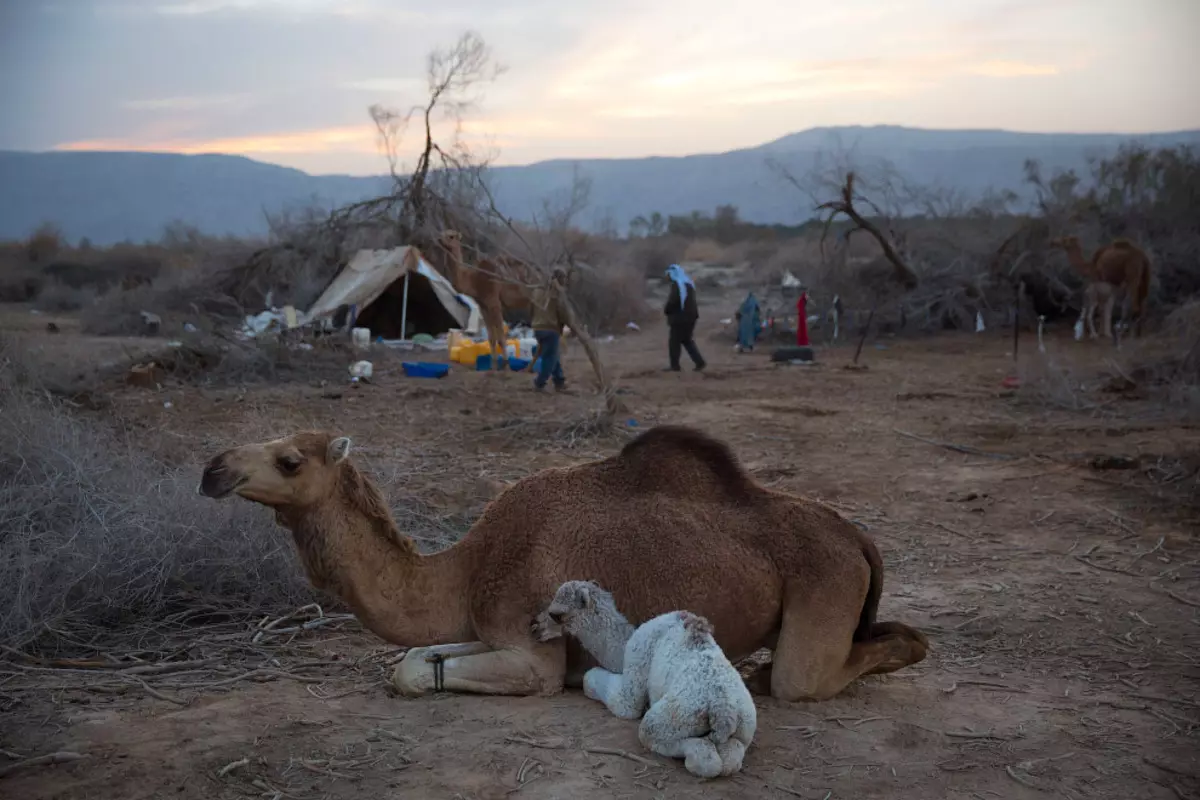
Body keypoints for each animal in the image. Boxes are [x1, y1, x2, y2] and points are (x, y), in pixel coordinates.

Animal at [196, 424, 926, 700]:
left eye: (290, 459)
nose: (213, 468)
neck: (466, 568)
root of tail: (857, 538)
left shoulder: (531, 652)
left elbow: (456, 673)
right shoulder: (484, 625)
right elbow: (414, 659)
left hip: (823, 585)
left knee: (835, 667)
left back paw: (772, 672)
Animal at [532, 578, 753, 777]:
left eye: (556, 614)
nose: (534, 627)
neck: (626, 642)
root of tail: (723, 710)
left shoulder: (636, 663)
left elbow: (616, 698)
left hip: (680, 714)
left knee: (676, 744)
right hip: (746, 723)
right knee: (732, 756)